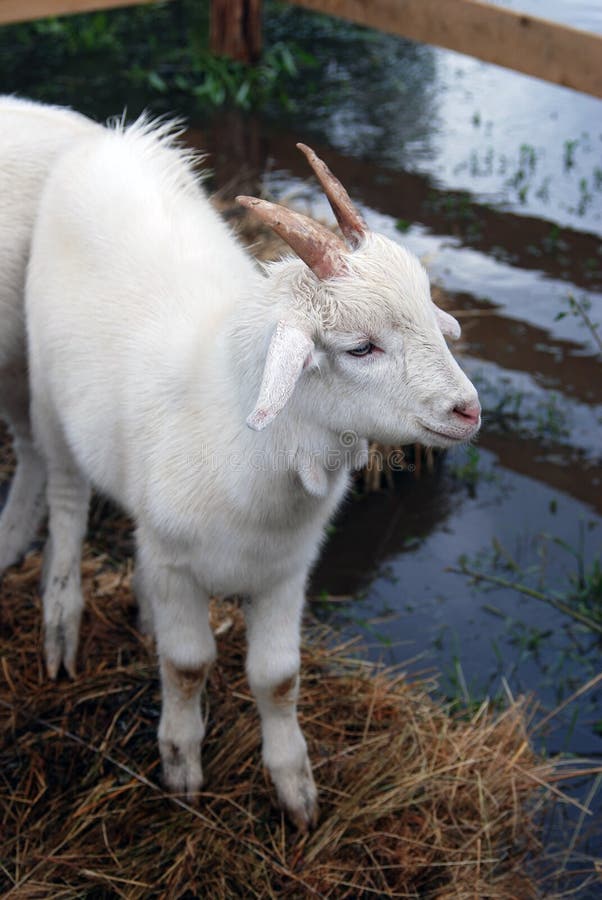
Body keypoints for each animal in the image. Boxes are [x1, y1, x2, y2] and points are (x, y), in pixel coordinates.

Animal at [19, 107, 481, 829]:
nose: (468, 410)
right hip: (47, 399)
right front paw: (181, 765)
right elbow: (187, 664)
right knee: (66, 504)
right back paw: (62, 621)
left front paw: (296, 789)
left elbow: (277, 677)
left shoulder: (286, 571)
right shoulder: (178, 564)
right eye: (360, 347)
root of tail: (119, 137)